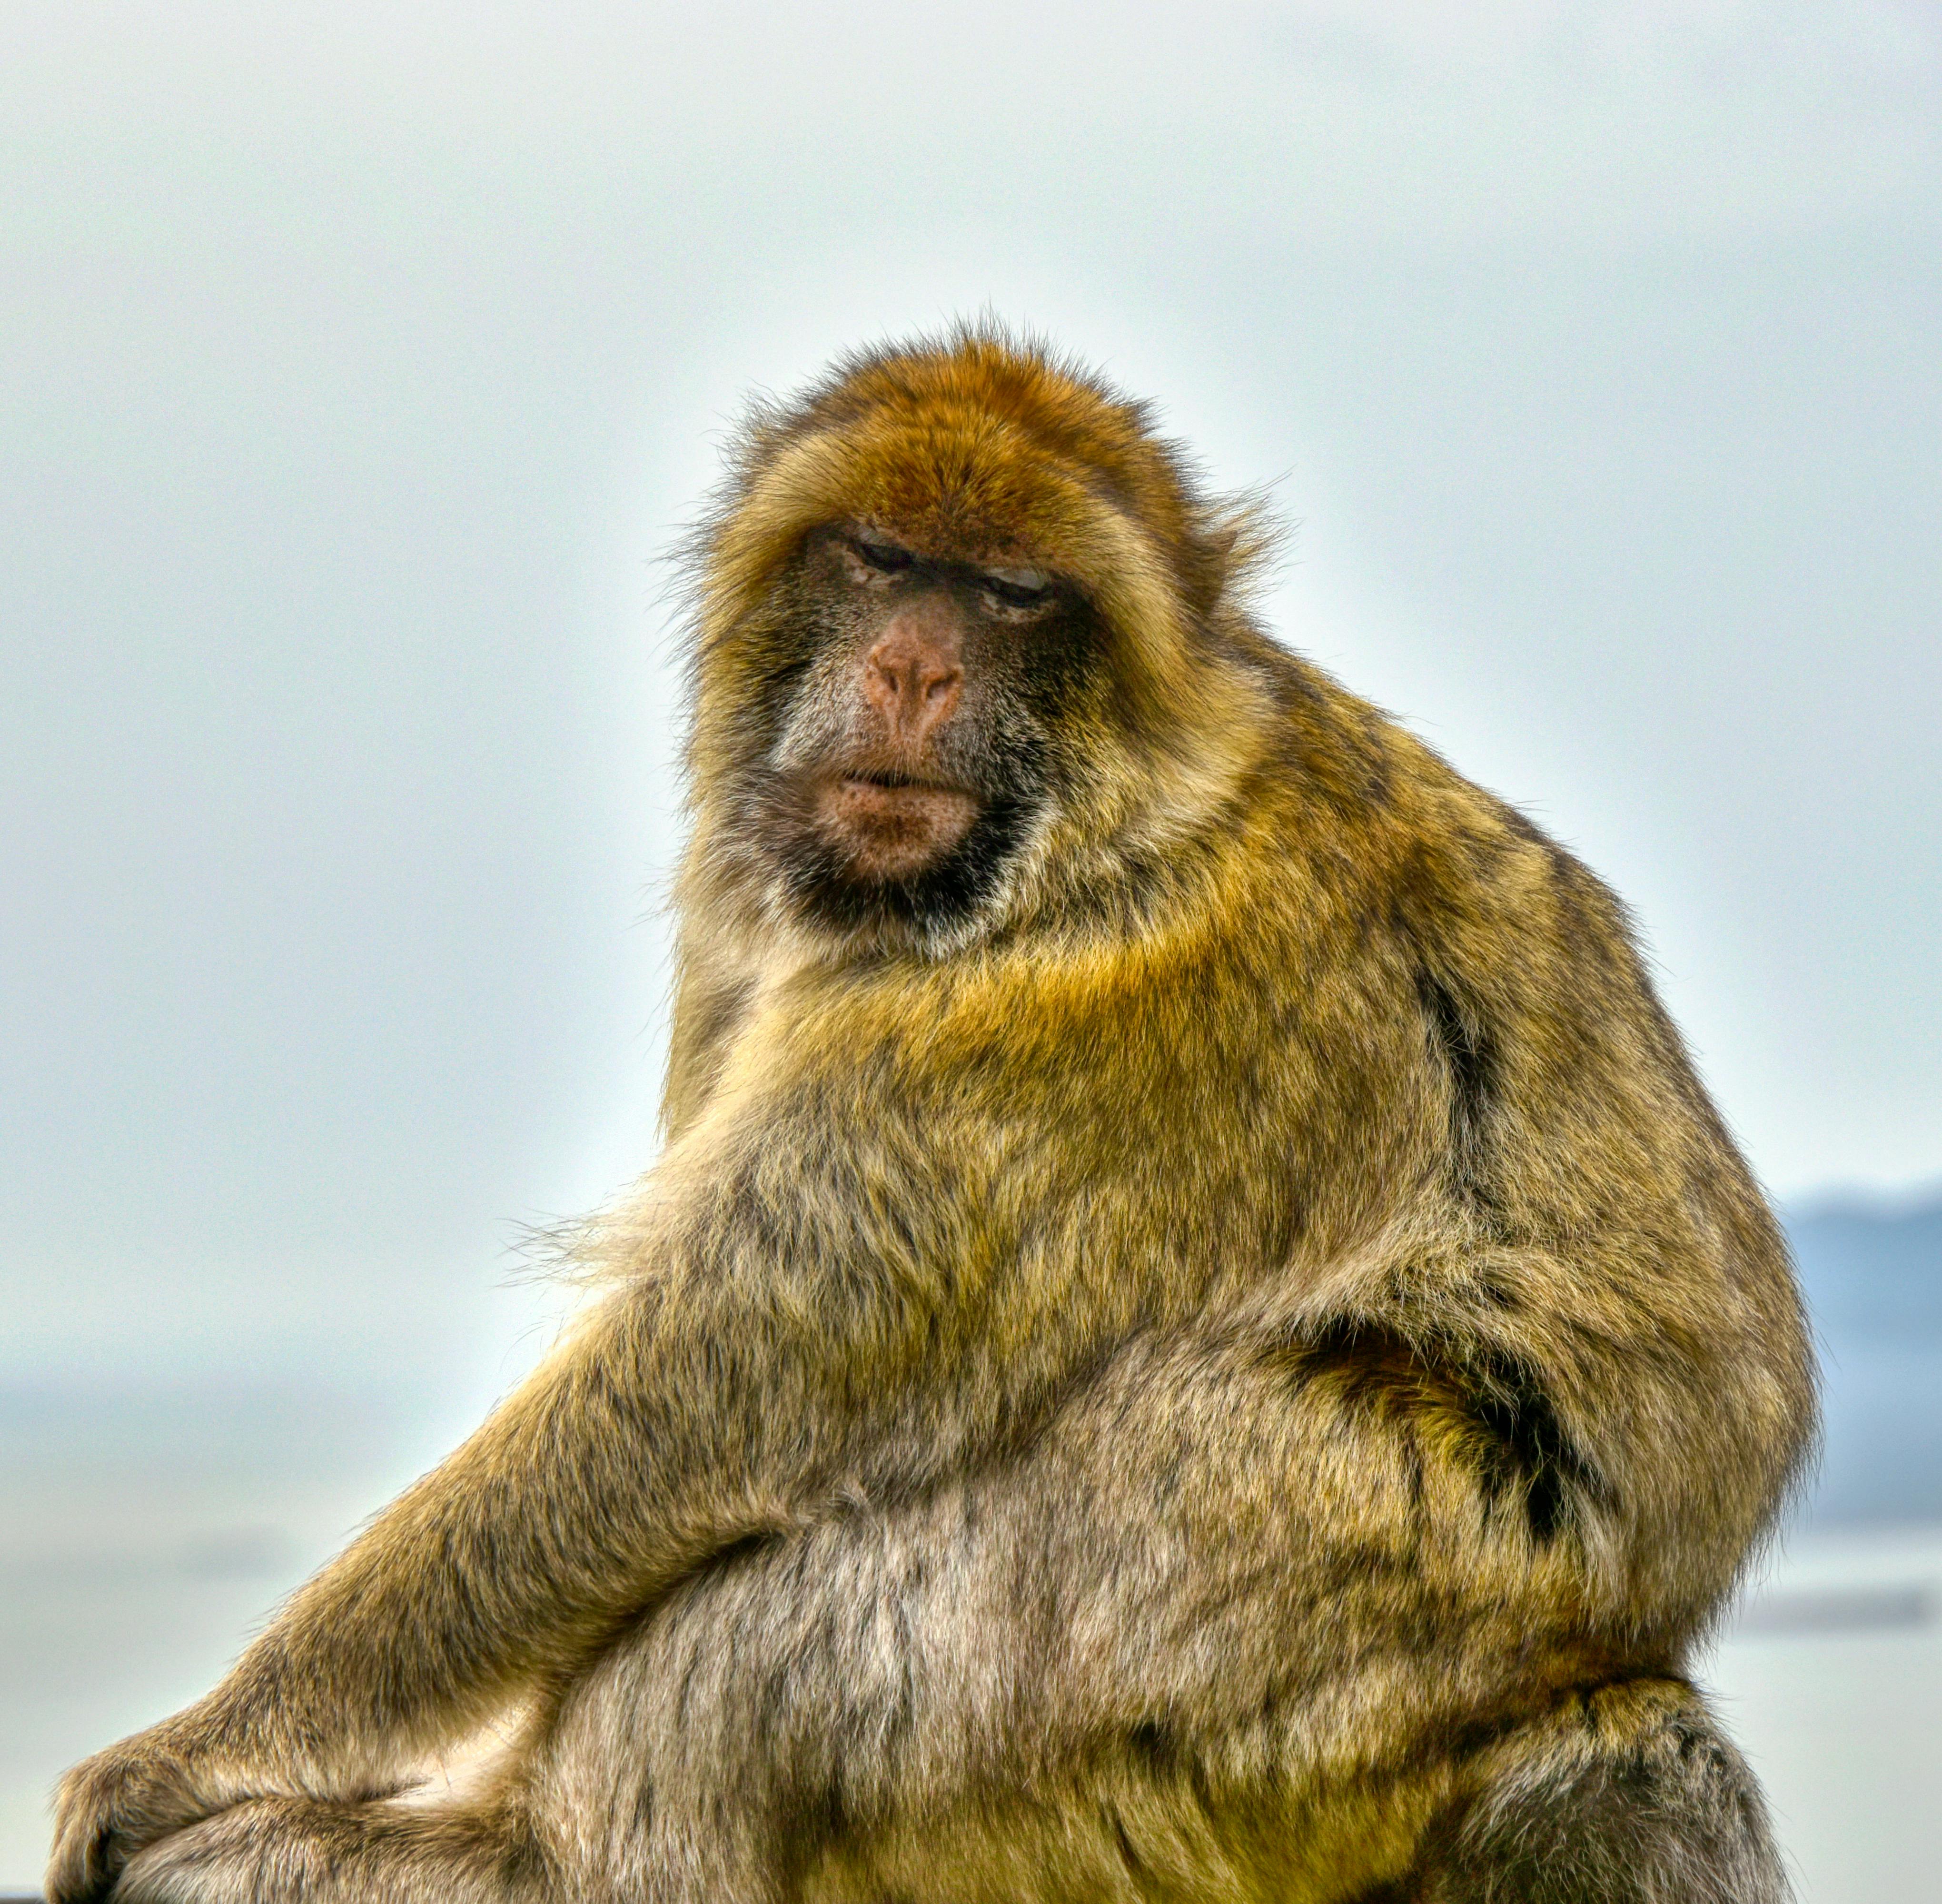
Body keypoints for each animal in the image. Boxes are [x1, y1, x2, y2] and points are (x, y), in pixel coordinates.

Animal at [49, 328, 1816, 1904]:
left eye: (1014, 593)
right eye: (884, 556)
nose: (912, 665)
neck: (1107, 820)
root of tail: (1590, 1664)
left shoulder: (1040, 1033)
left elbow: (686, 1409)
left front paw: (192, 1756)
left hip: (1281, 1613)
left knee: (828, 1582)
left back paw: (558, 1863)